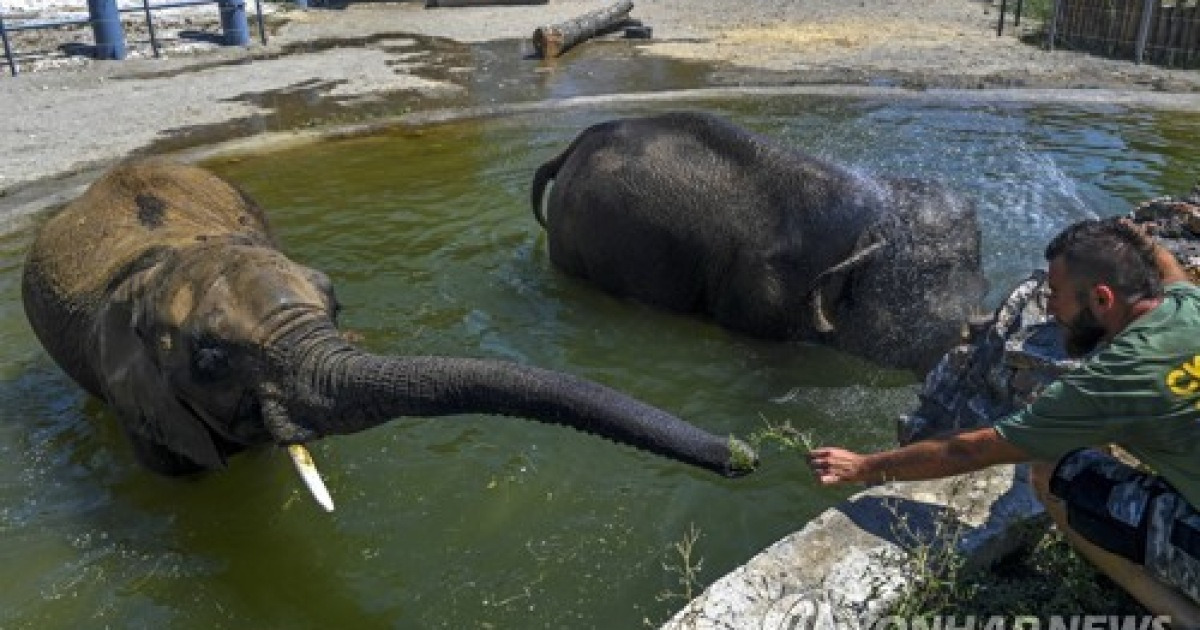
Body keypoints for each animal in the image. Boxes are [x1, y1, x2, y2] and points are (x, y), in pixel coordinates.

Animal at [530, 112, 986, 375]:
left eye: (978, 265)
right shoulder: (759, 295)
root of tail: (577, 142)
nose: (977, 329)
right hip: (573, 243)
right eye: (929, 274)